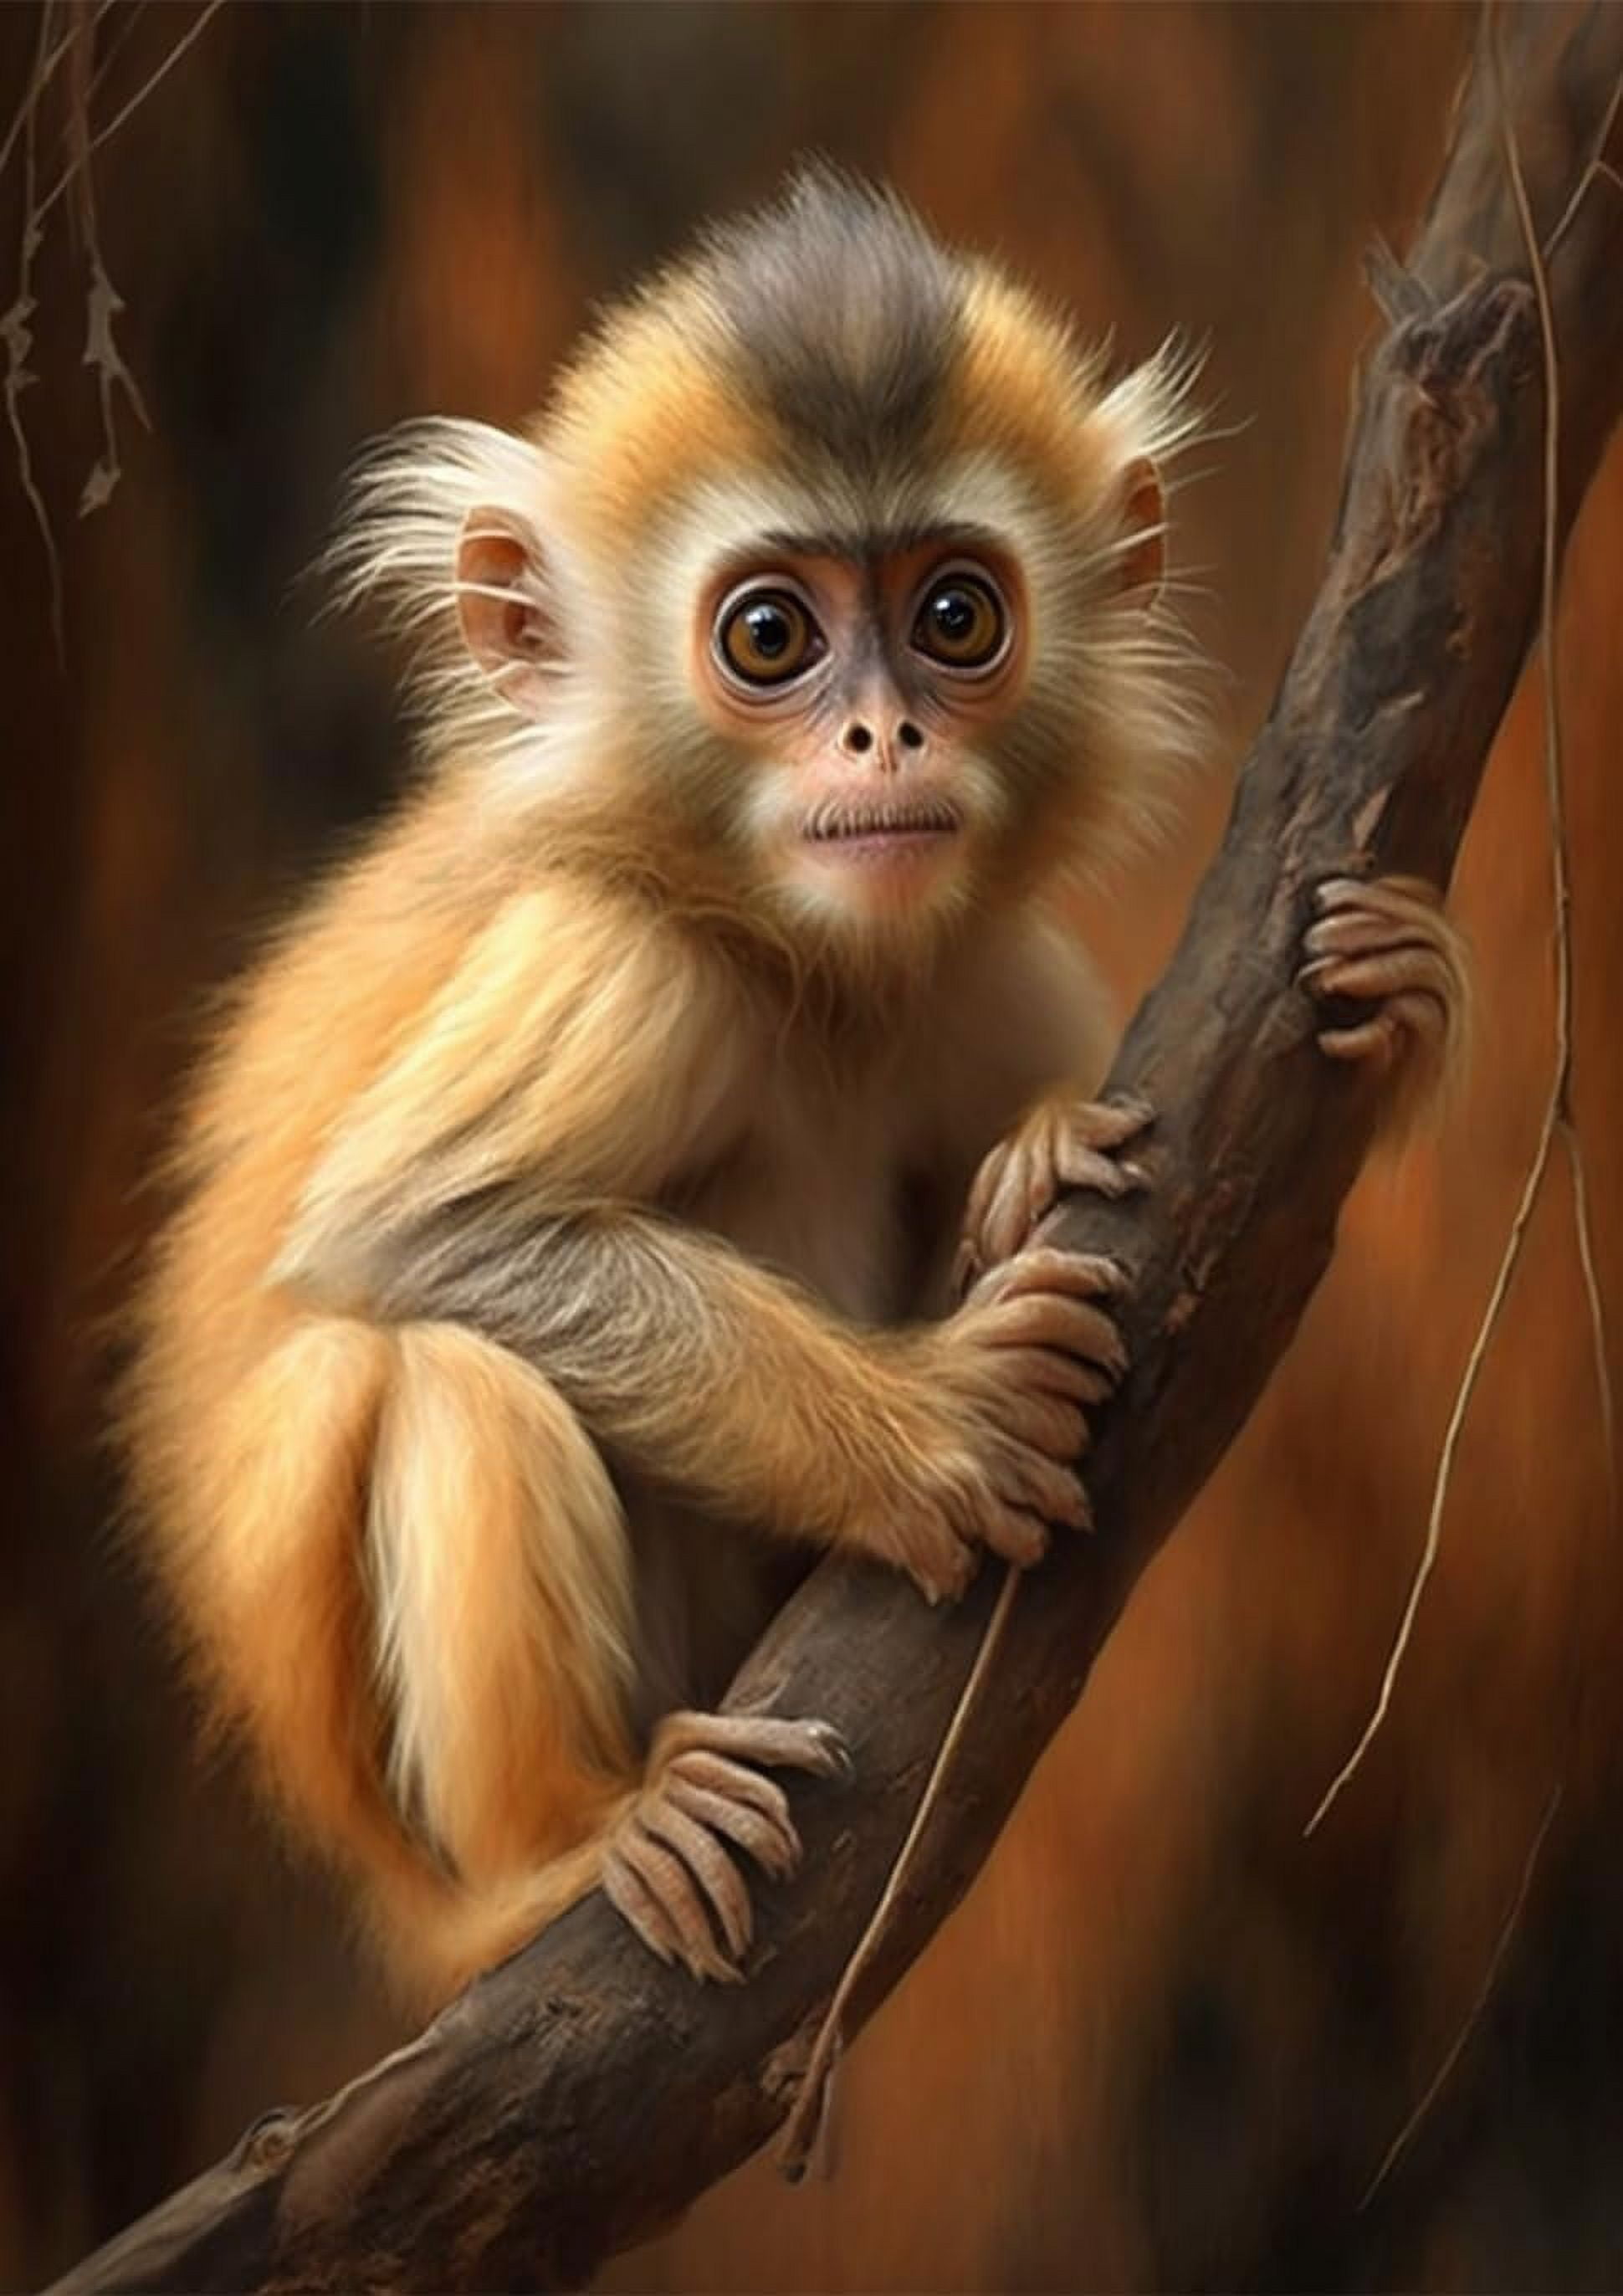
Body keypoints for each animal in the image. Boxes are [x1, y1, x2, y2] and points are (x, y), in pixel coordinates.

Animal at [123, 169, 1465, 2002]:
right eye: (770, 635)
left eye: (956, 615)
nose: (883, 741)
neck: (808, 969)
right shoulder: (623, 959)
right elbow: (409, 1234)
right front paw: (937, 1429)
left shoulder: (983, 963)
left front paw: (1378, 1000)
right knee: (441, 1377)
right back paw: (572, 1843)